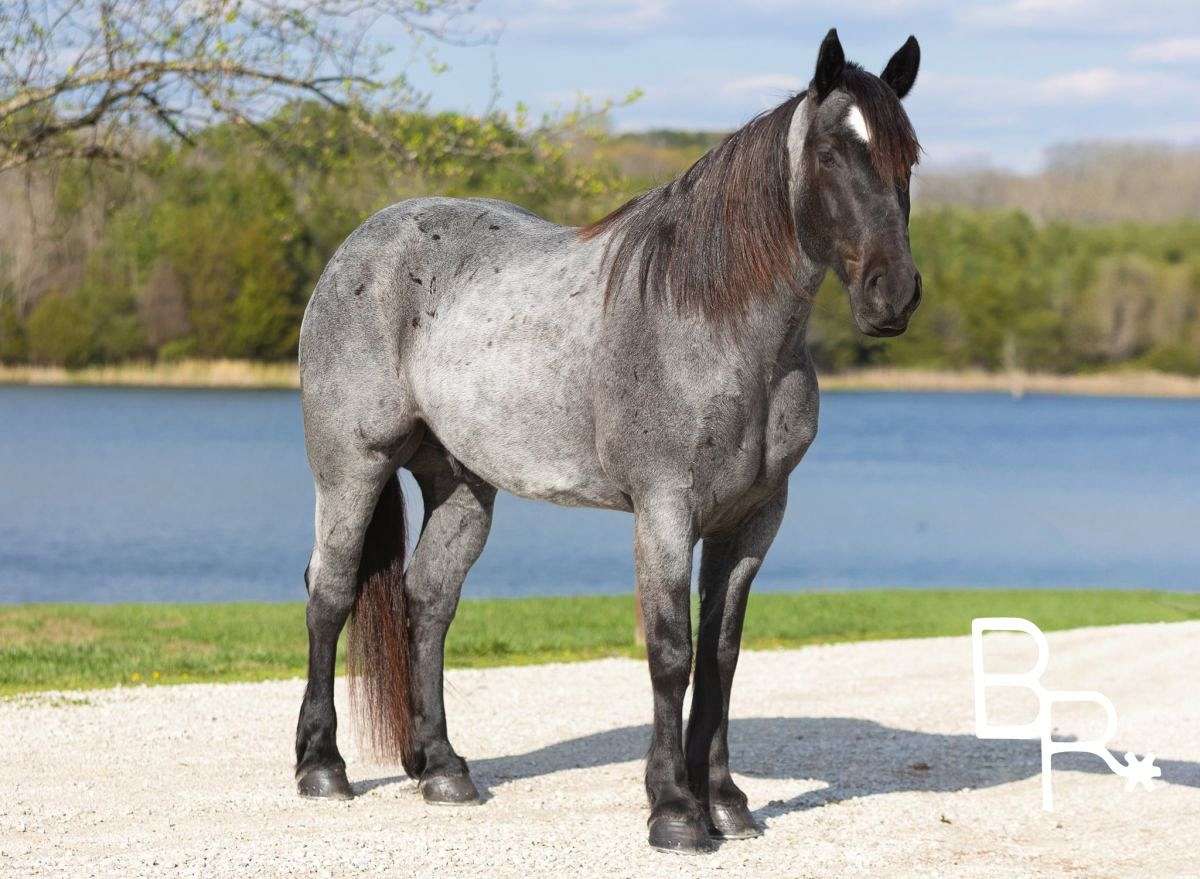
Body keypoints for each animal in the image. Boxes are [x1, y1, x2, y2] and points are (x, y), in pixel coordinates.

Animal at [293, 28, 923, 854]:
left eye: (908, 157)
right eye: (828, 152)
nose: (894, 294)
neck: (714, 322)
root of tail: (358, 250)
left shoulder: (754, 518)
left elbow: (721, 653)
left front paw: (726, 802)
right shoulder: (665, 512)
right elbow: (671, 651)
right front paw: (676, 811)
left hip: (462, 485)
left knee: (428, 601)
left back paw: (444, 768)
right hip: (352, 467)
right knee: (330, 593)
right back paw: (321, 767)